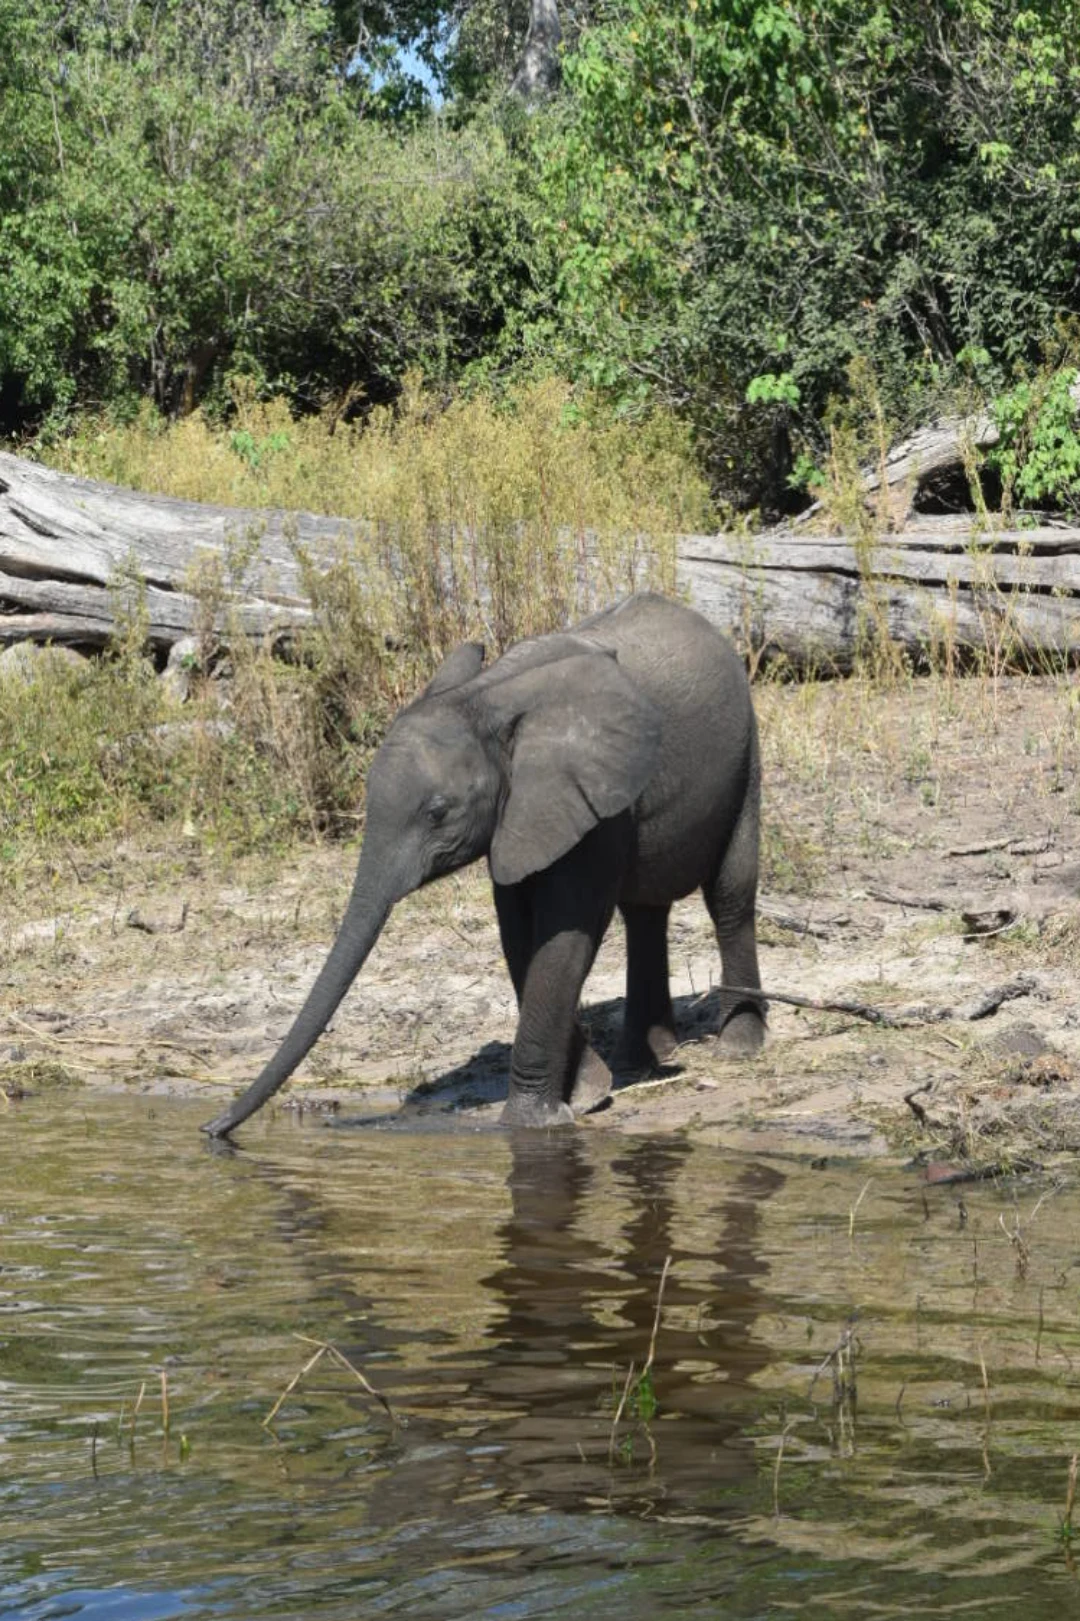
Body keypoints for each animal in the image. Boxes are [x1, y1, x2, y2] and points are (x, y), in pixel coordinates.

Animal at [202, 592, 764, 1138]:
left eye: (437, 813)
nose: (213, 1129)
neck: (483, 701)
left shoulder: (597, 807)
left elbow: (564, 932)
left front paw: (533, 1123)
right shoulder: (524, 813)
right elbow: (519, 932)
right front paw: (587, 1093)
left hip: (745, 754)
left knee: (730, 894)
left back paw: (738, 1045)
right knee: (645, 913)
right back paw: (644, 1060)